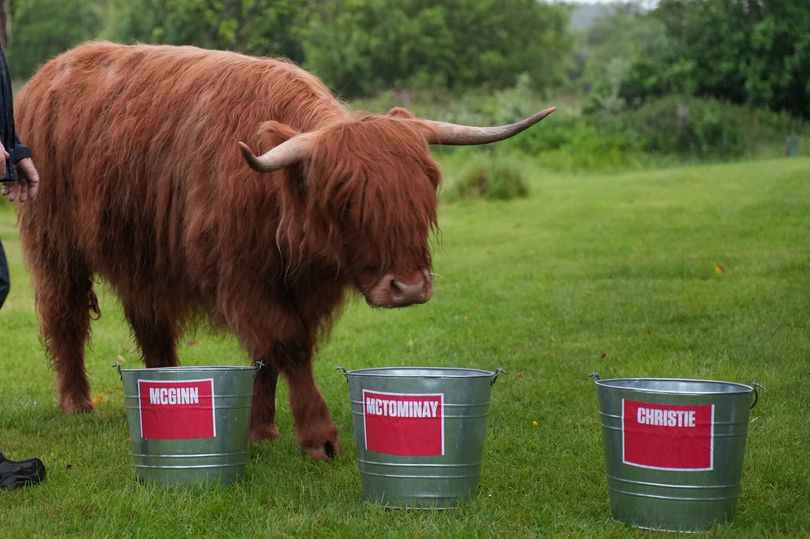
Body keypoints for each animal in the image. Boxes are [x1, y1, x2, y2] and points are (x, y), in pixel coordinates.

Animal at [14, 42, 554, 460]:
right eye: (346, 199)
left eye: (425, 190)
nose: (408, 287)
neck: (279, 201)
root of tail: (48, 73)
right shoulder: (243, 276)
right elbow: (288, 345)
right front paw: (319, 437)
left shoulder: (293, 284)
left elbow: (267, 355)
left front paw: (261, 429)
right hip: (54, 240)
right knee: (64, 314)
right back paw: (77, 401)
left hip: (141, 253)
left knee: (150, 321)